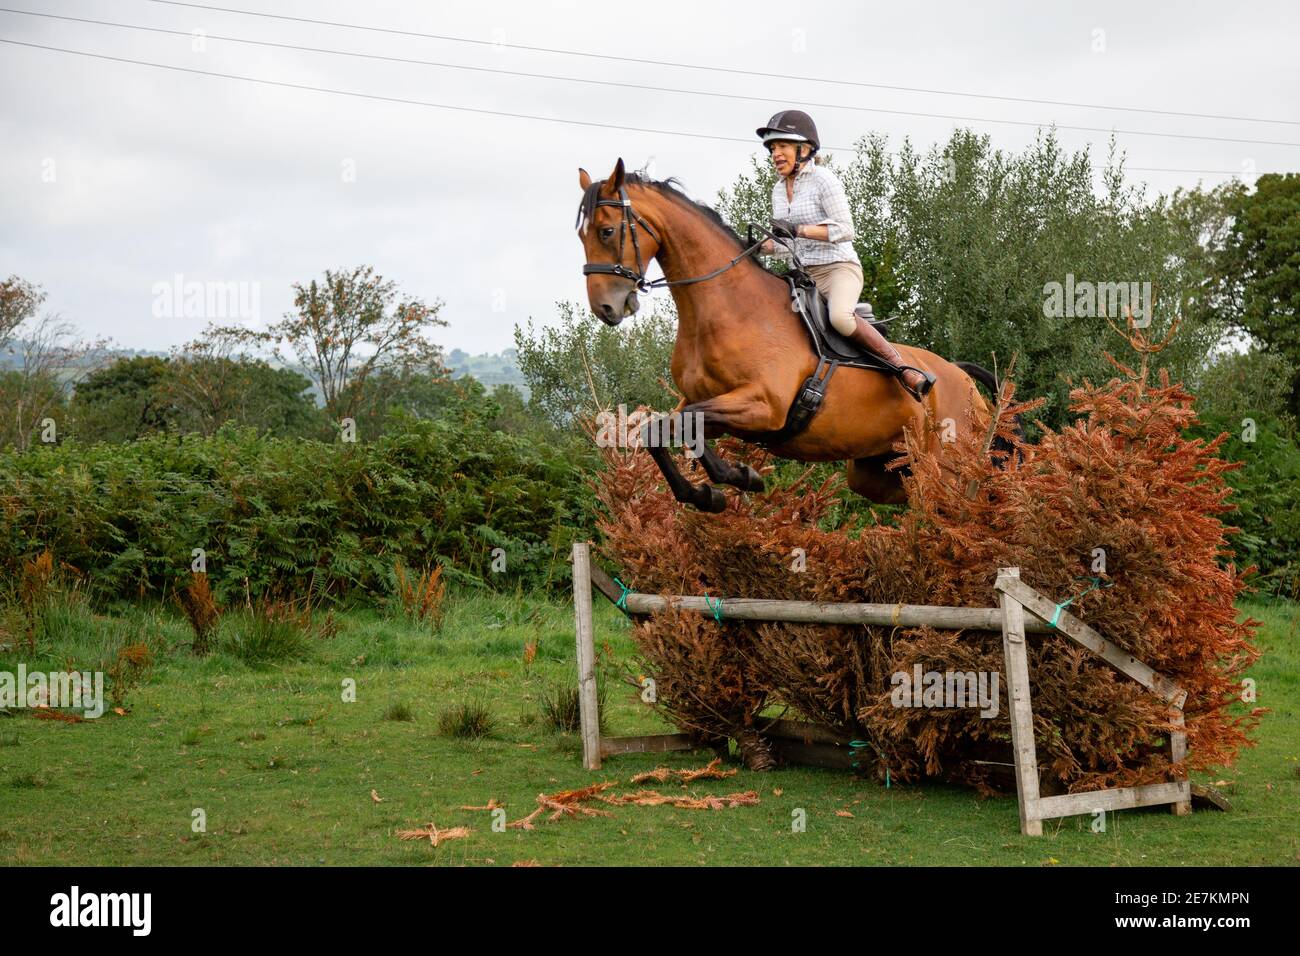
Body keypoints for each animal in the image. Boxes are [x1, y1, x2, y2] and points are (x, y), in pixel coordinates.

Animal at [575, 158, 1003, 512]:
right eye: (581, 236)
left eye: (607, 231)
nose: (605, 308)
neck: (725, 308)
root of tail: (960, 374)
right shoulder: (706, 402)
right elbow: (665, 429)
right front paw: (716, 491)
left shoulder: (762, 405)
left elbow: (677, 426)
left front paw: (736, 478)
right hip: (882, 471)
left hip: (944, 465)